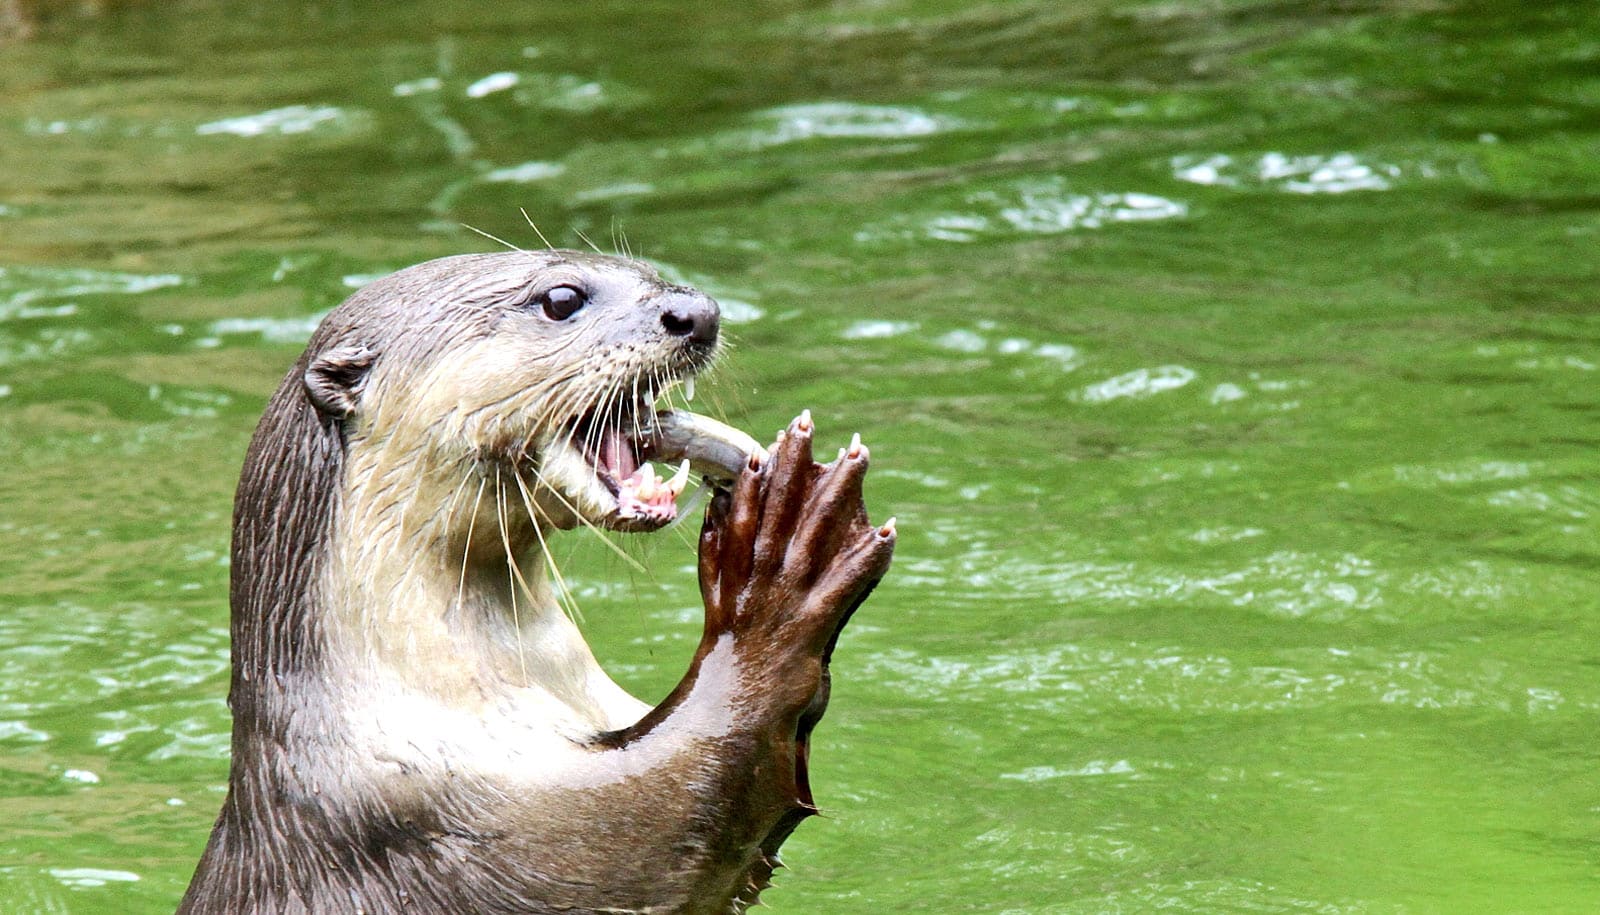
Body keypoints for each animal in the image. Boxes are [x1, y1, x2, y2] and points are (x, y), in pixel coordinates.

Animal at [177, 251, 896, 914]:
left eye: (645, 269)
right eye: (561, 298)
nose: (697, 313)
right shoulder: (446, 820)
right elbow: (672, 814)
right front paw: (781, 560)